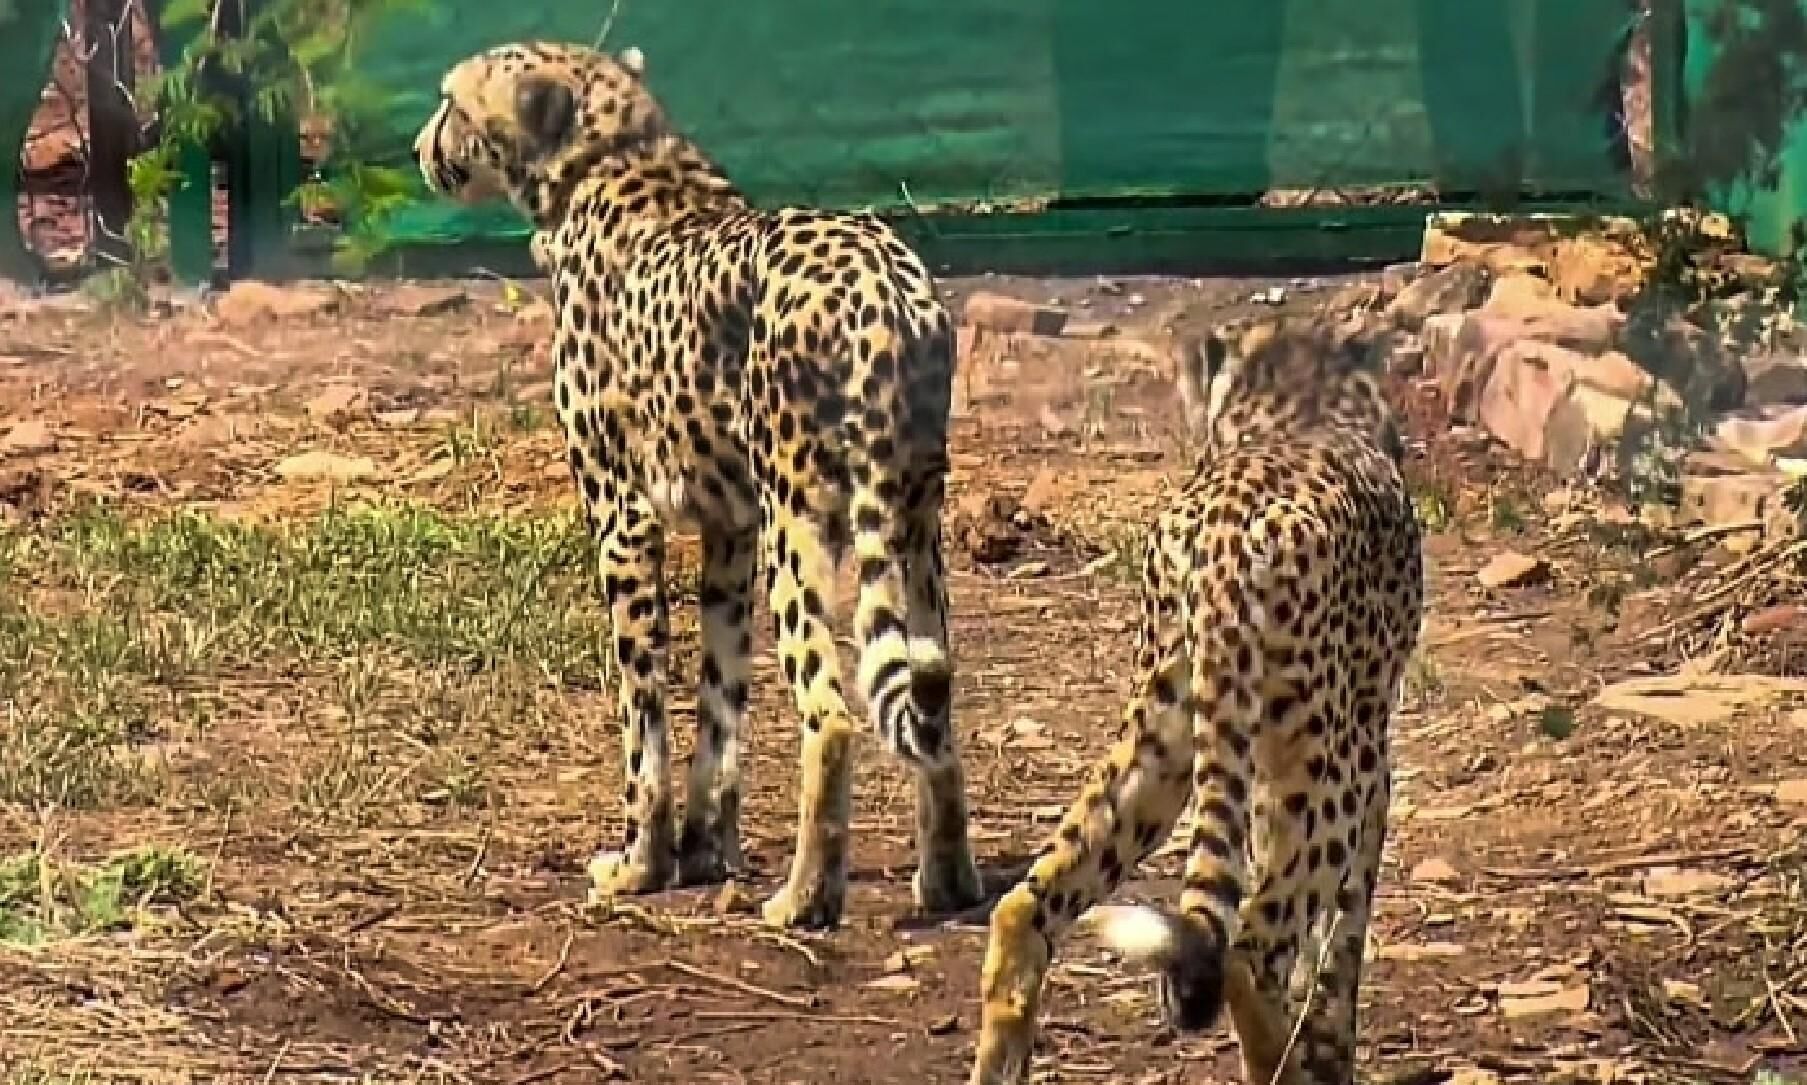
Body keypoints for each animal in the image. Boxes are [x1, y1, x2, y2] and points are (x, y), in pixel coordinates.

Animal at [412, 40, 984, 930]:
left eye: (452, 102)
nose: (417, 147)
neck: (610, 159)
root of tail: (883, 282)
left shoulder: (624, 519)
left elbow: (641, 711)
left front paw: (639, 864)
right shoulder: (730, 527)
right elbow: (719, 703)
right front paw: (704, 849)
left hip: (801, 521)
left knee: (831, 712)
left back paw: (802, 898)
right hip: (913, 524)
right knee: (934, 698)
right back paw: (948, 879)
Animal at [967, 315, 1424, 1084]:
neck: (1296, 400)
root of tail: (1225, 531)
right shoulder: (1370, 755)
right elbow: (1344, 930)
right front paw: (1330, 1044)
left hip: (1162, 743)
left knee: (1025, 905)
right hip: (1328, 766)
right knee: (1249, 951)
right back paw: (1284, 1060)